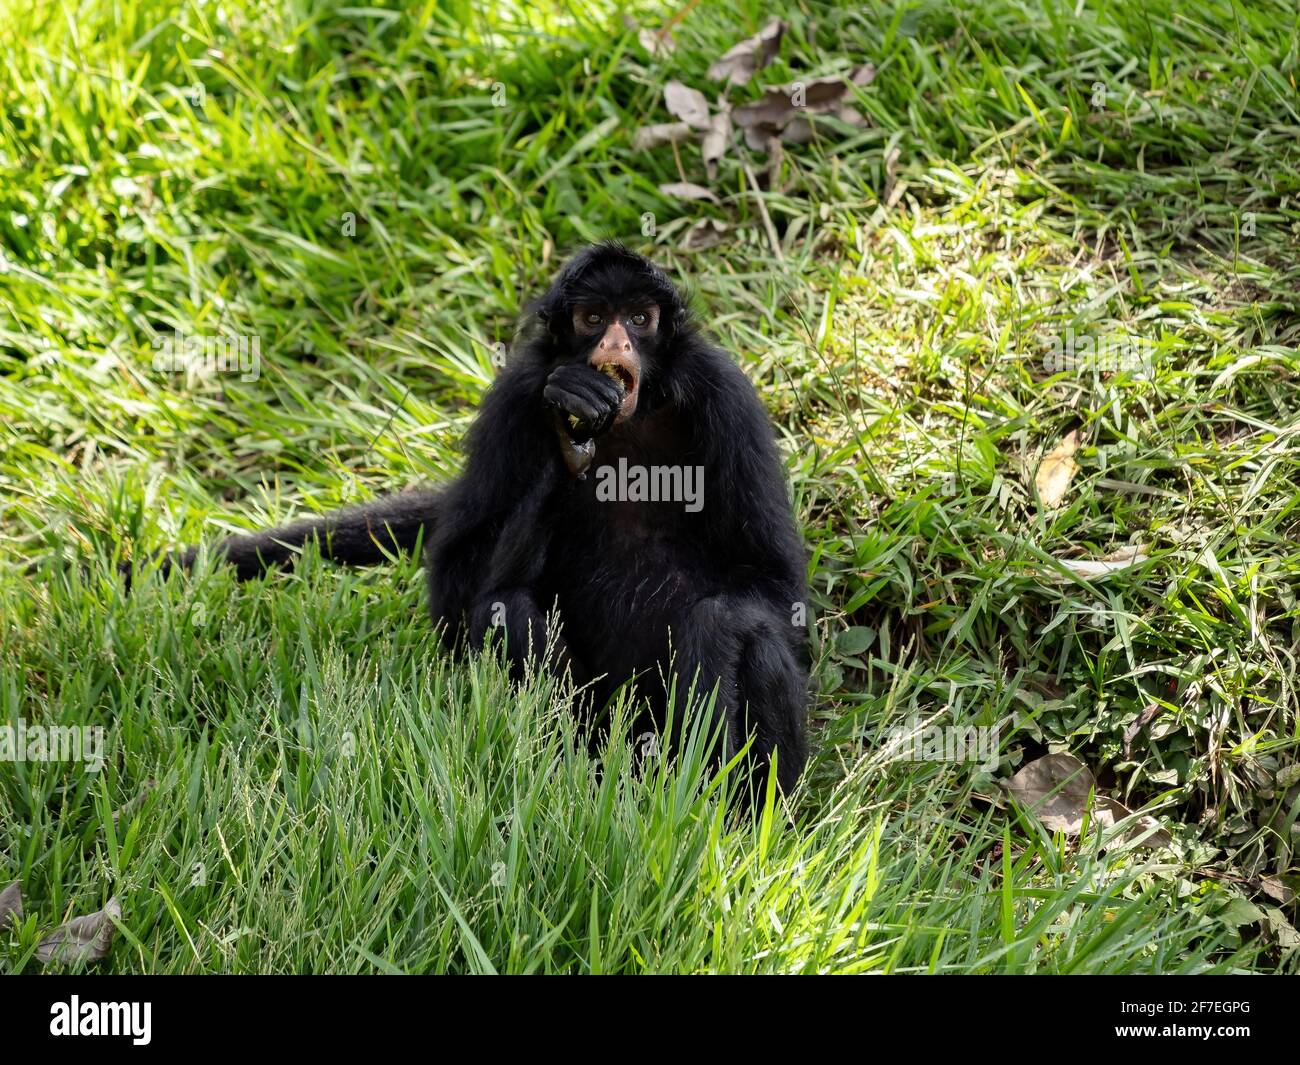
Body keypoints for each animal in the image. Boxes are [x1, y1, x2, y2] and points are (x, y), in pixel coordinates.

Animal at [137, 242, 810, 799]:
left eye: (639, 320)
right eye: (594, 318)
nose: (616, 345)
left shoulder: (724, 393)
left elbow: (775, 591)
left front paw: (713, 642)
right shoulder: (518, 393)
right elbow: (457, 587)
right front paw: (568, 435)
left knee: (753, 632)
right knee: (507, 609)